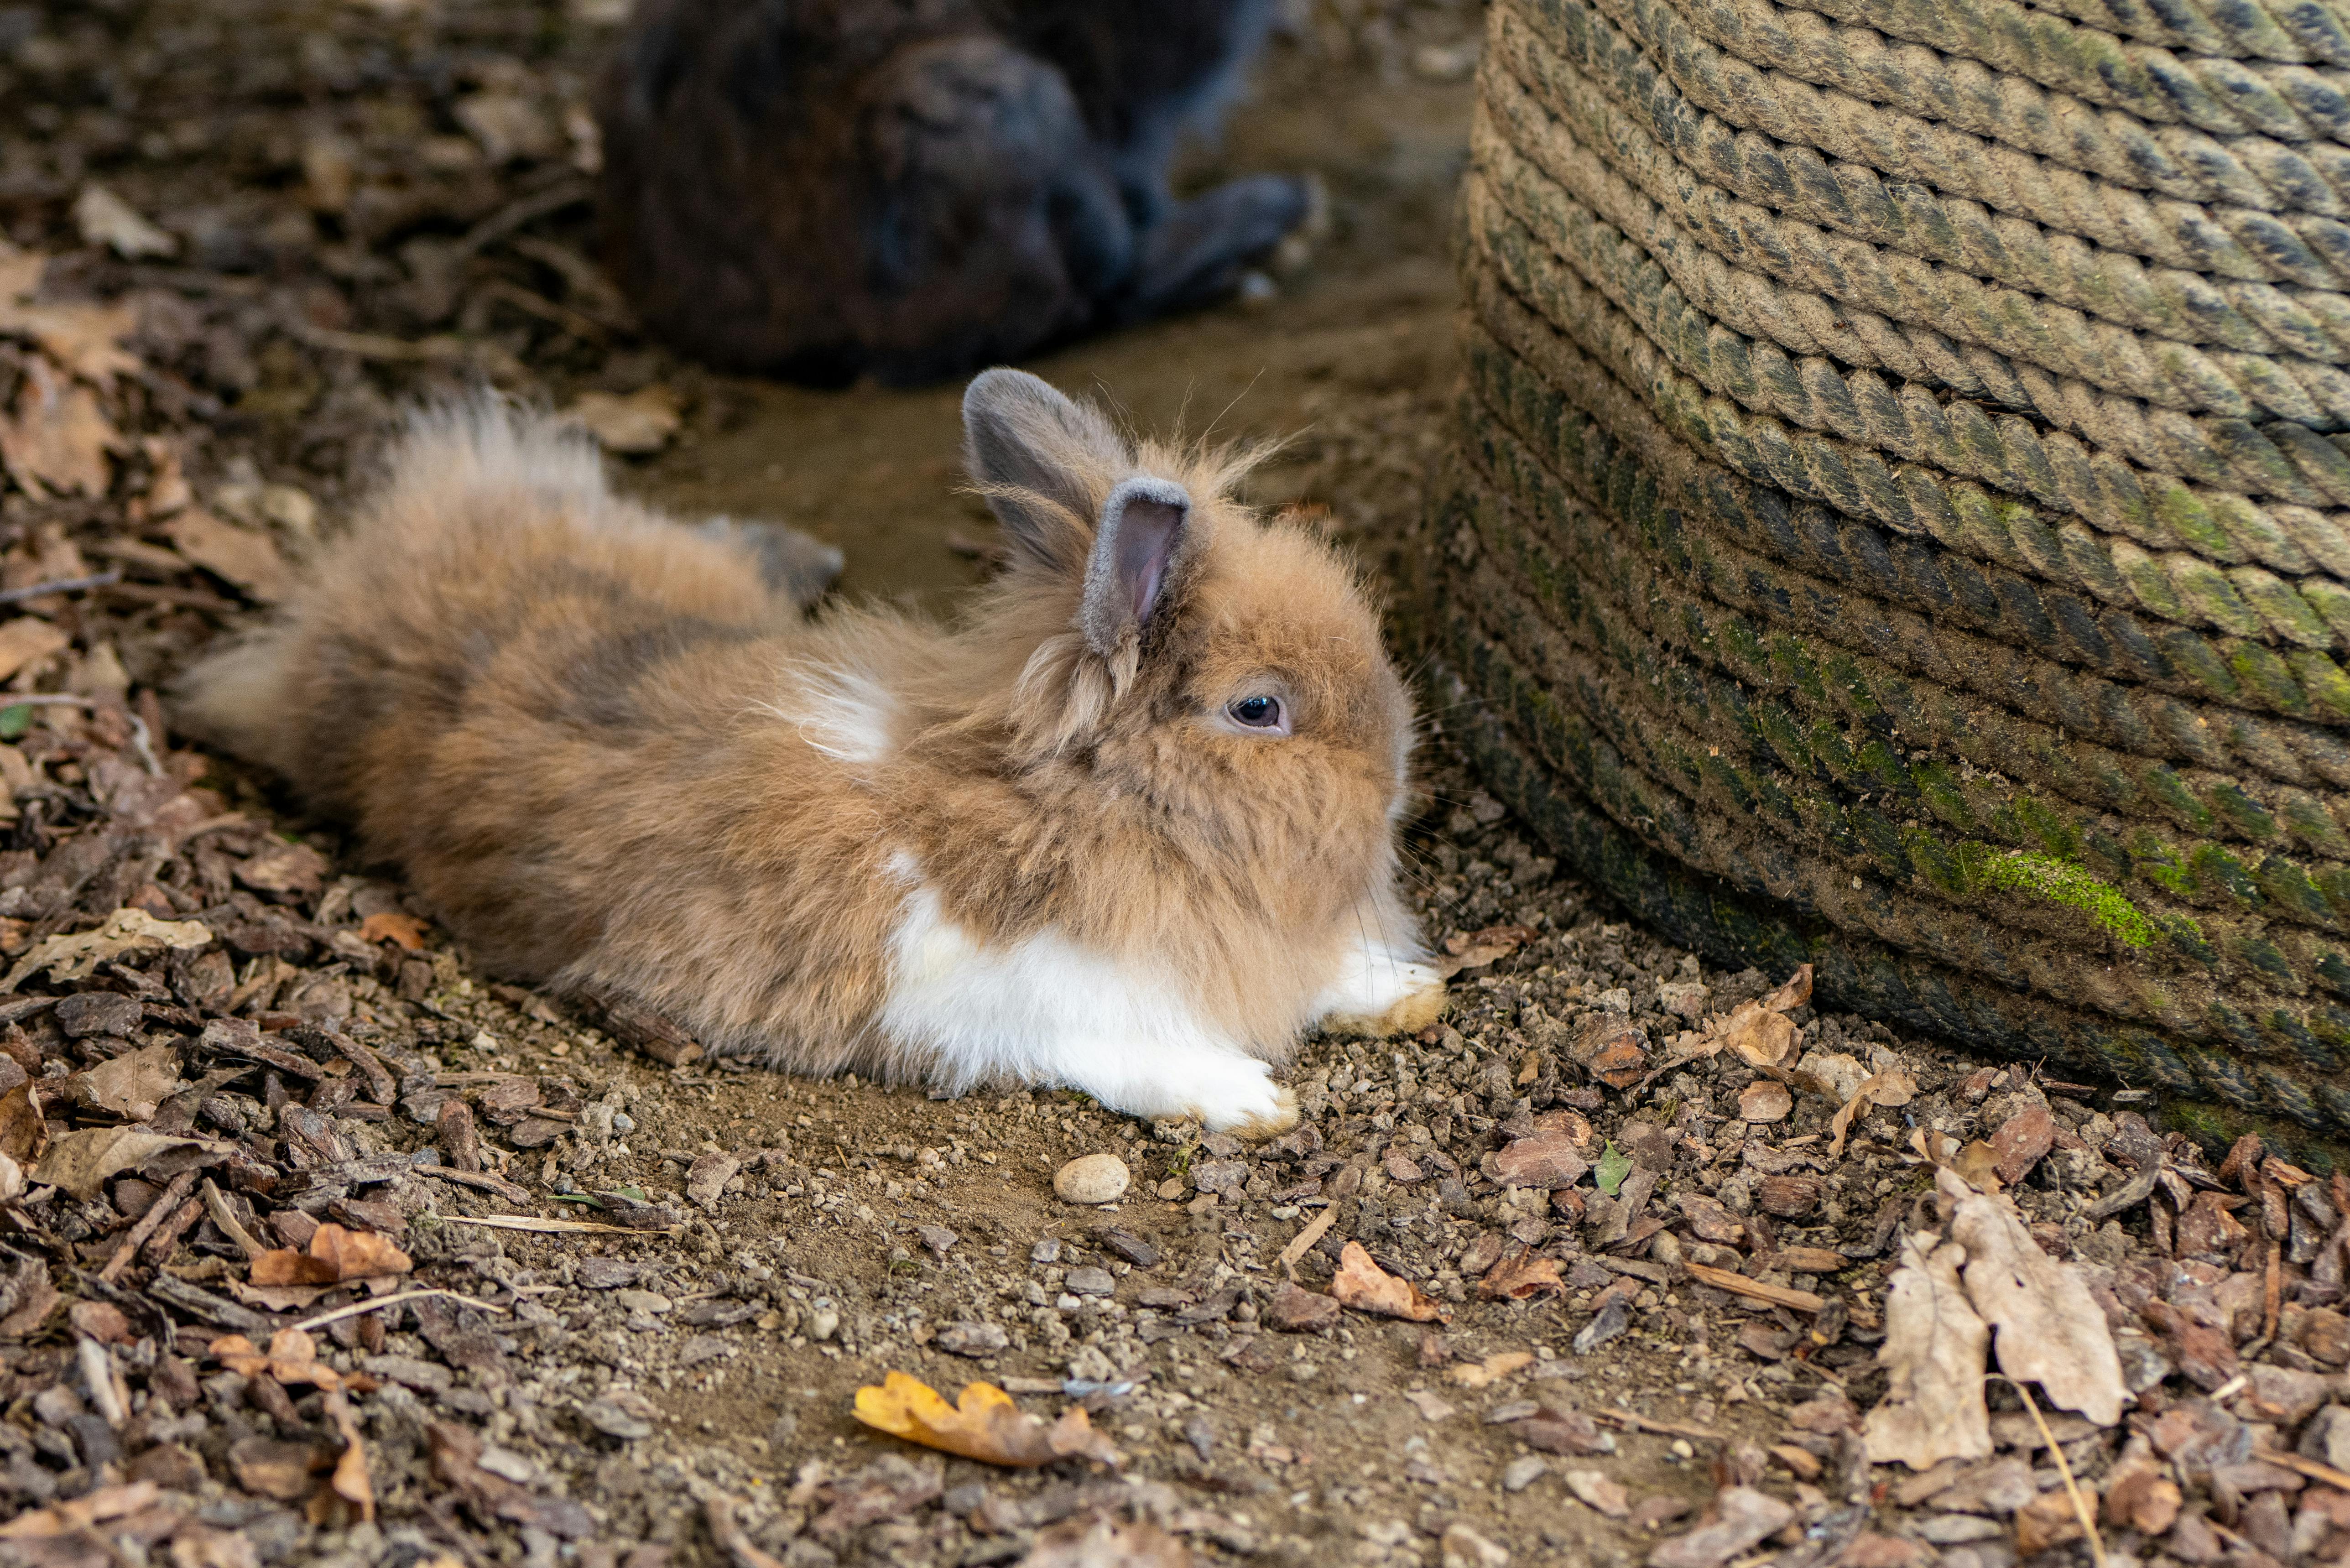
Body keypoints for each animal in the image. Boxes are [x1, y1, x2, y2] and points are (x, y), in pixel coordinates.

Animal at [174, 371, 1446, 1134]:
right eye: (1257, 708)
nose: (1398, 776)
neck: (1073, 803)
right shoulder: (1004, 1001)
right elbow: (1131, 1048)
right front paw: (1246, 1097)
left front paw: (1401, 992)